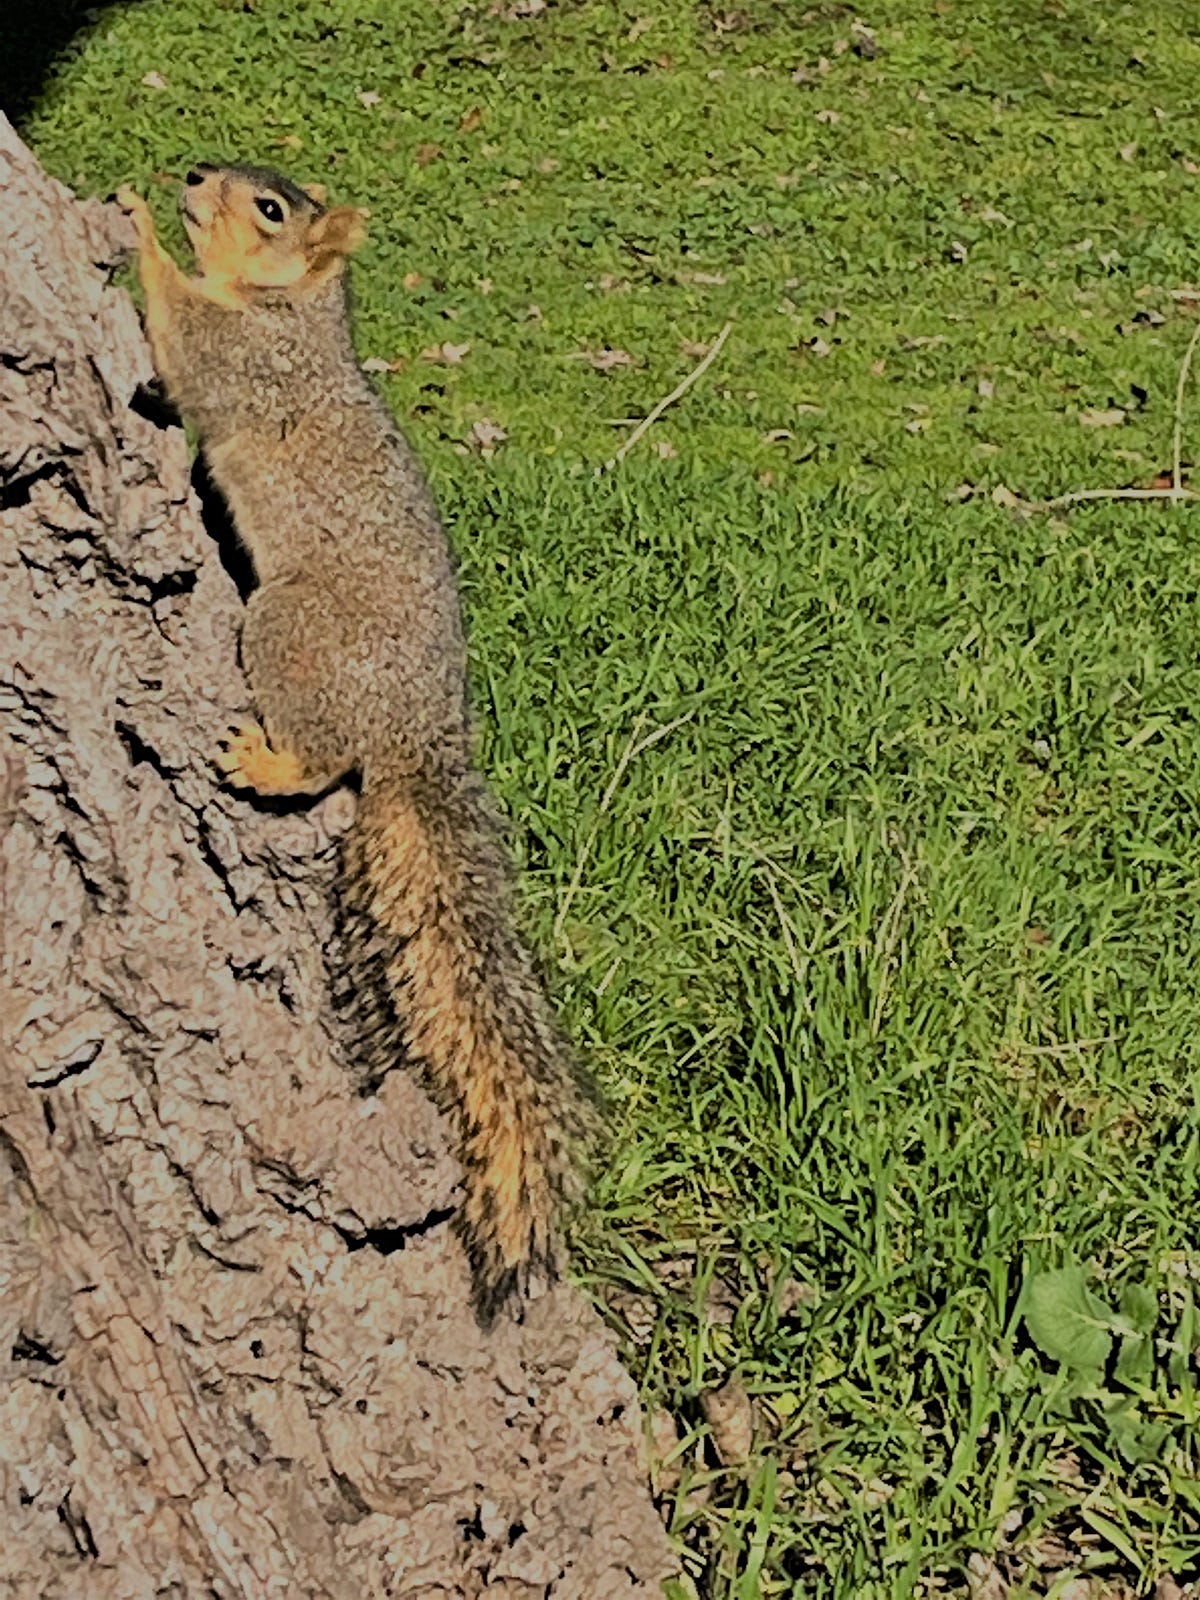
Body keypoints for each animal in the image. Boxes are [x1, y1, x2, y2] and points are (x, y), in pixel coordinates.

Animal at [115, 163, 597, 1322]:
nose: (193, 174)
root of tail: (419, 729)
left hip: (285, 630)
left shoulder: (251, 360)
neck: (291, 307)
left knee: (328, 760)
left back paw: (269, 762)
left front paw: (137, 226)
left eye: (271, 209)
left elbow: (186, 336)